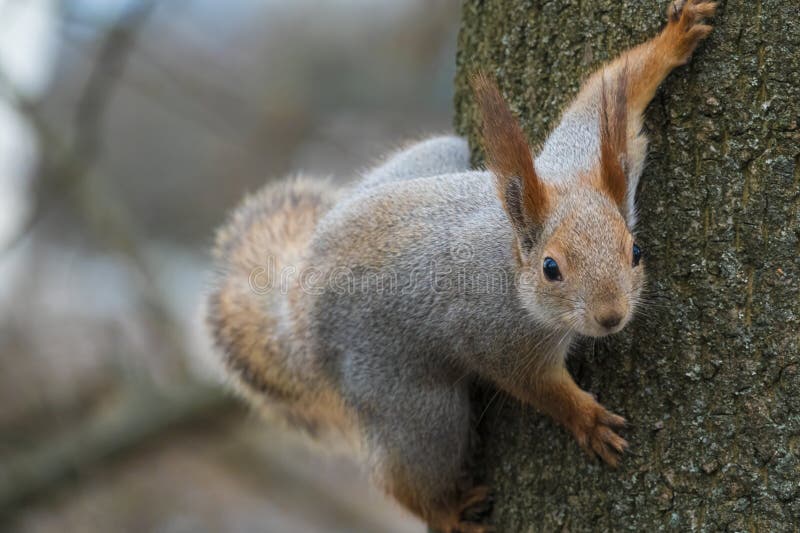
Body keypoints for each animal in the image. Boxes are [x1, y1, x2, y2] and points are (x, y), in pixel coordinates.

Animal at [206, 1, 716, 531]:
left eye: (635, 251)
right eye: (551, 268)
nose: (611, 317)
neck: (511, 256)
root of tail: (298, 323)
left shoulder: (578, 163)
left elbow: (605, 93)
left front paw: (674, 39)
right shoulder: (497, 337)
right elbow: (534, 385)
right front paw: (586, 419)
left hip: (436, 155)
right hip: (412, 400)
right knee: (408, 469)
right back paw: (446, 512)